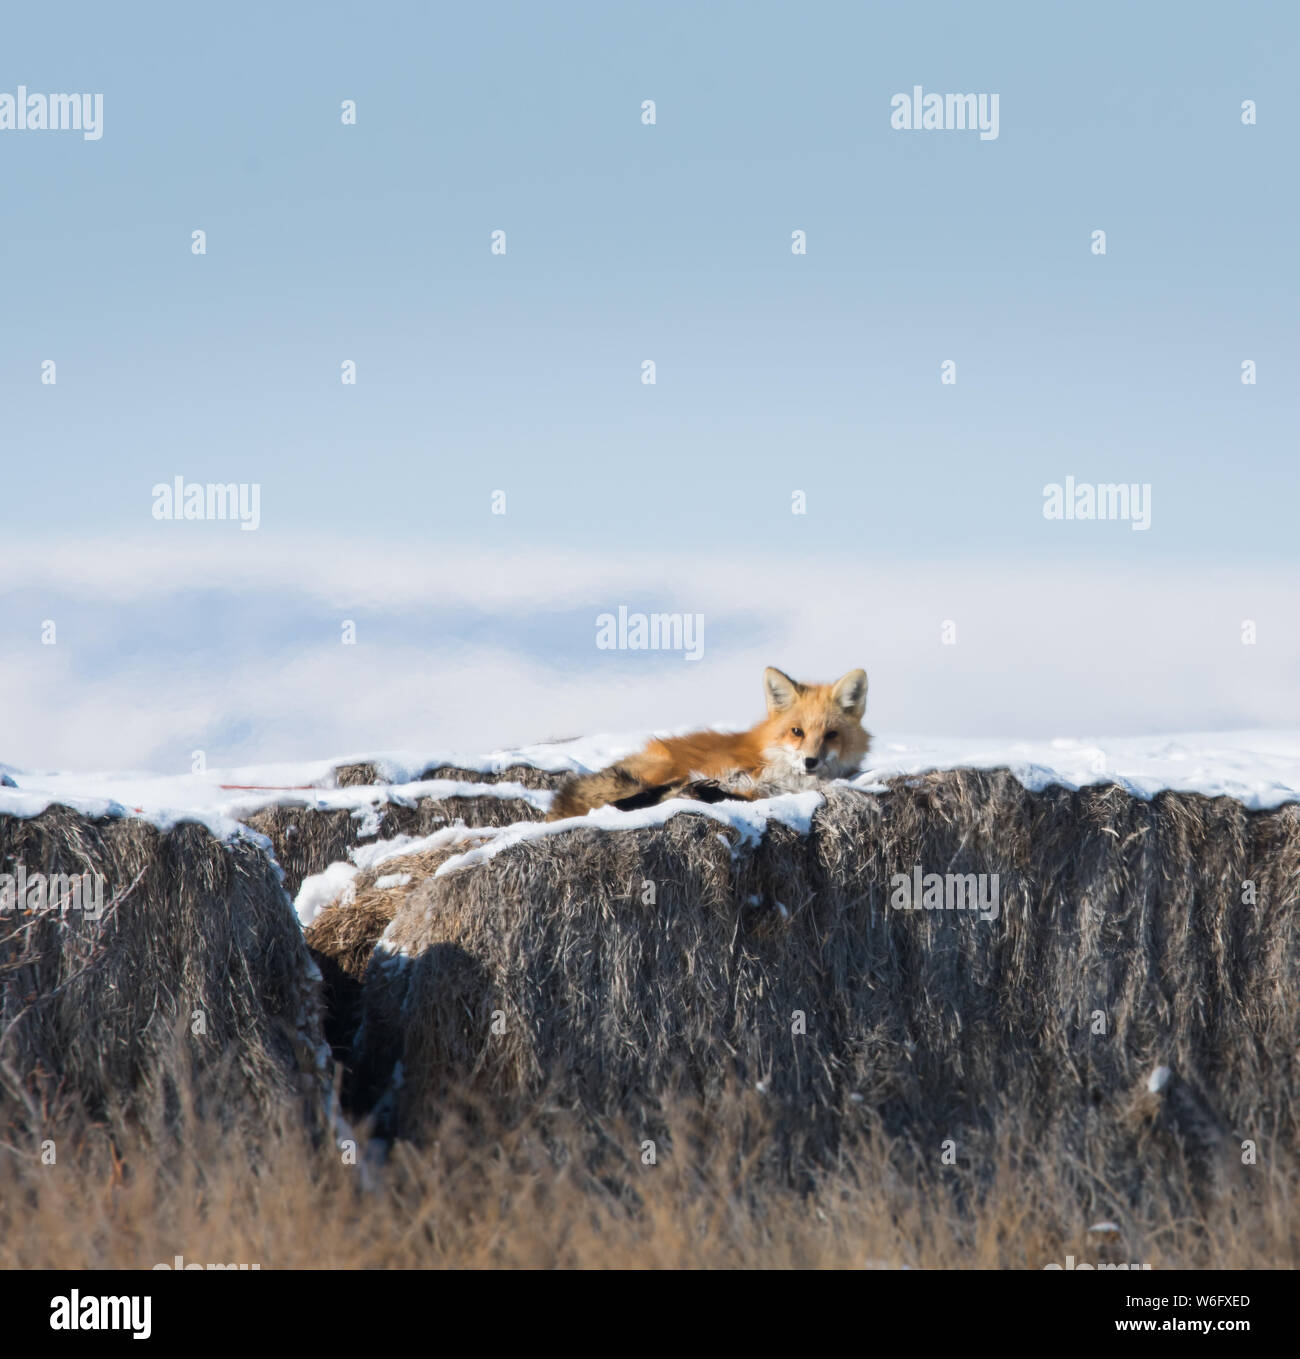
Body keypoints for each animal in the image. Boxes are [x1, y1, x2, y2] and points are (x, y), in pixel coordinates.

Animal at [548, 666, 870, 821]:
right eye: (796, 731)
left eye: (831, 735)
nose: (810, 761)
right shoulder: (722, 772)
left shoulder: (758, 793)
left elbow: (729, 796)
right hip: (664, 766)